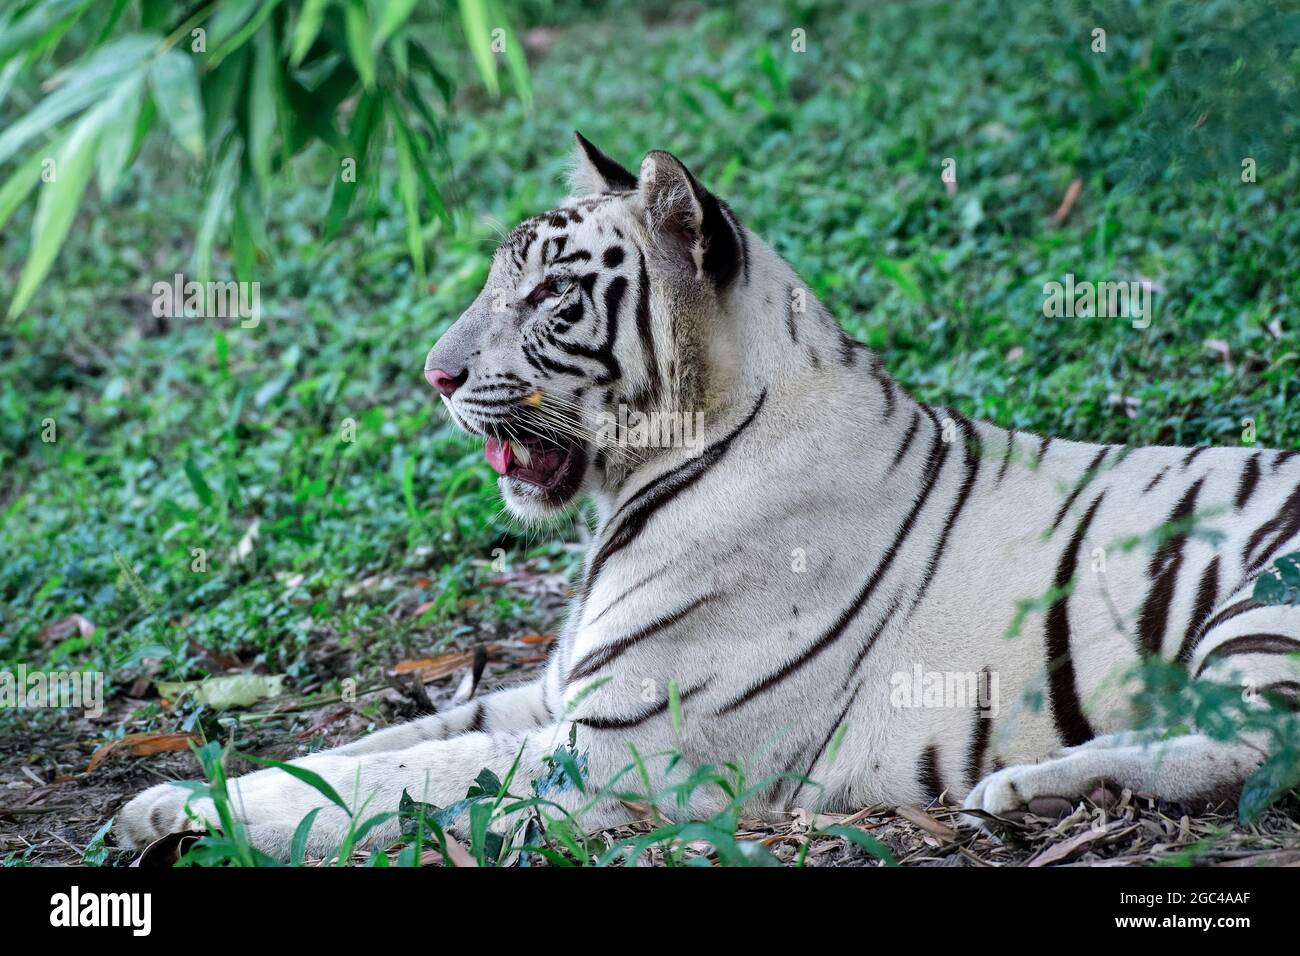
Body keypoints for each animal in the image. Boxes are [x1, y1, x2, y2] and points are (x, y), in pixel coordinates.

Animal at [120, 133, 1300, 858]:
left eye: (550, 294)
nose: (435, 376)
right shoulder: (558, 692)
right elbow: (362, 749)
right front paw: (163, 799)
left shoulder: (615, 742)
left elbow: (395, 778)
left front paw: (188, 810)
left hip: (1261, 601)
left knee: (1255, 746)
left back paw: (1032, 787)